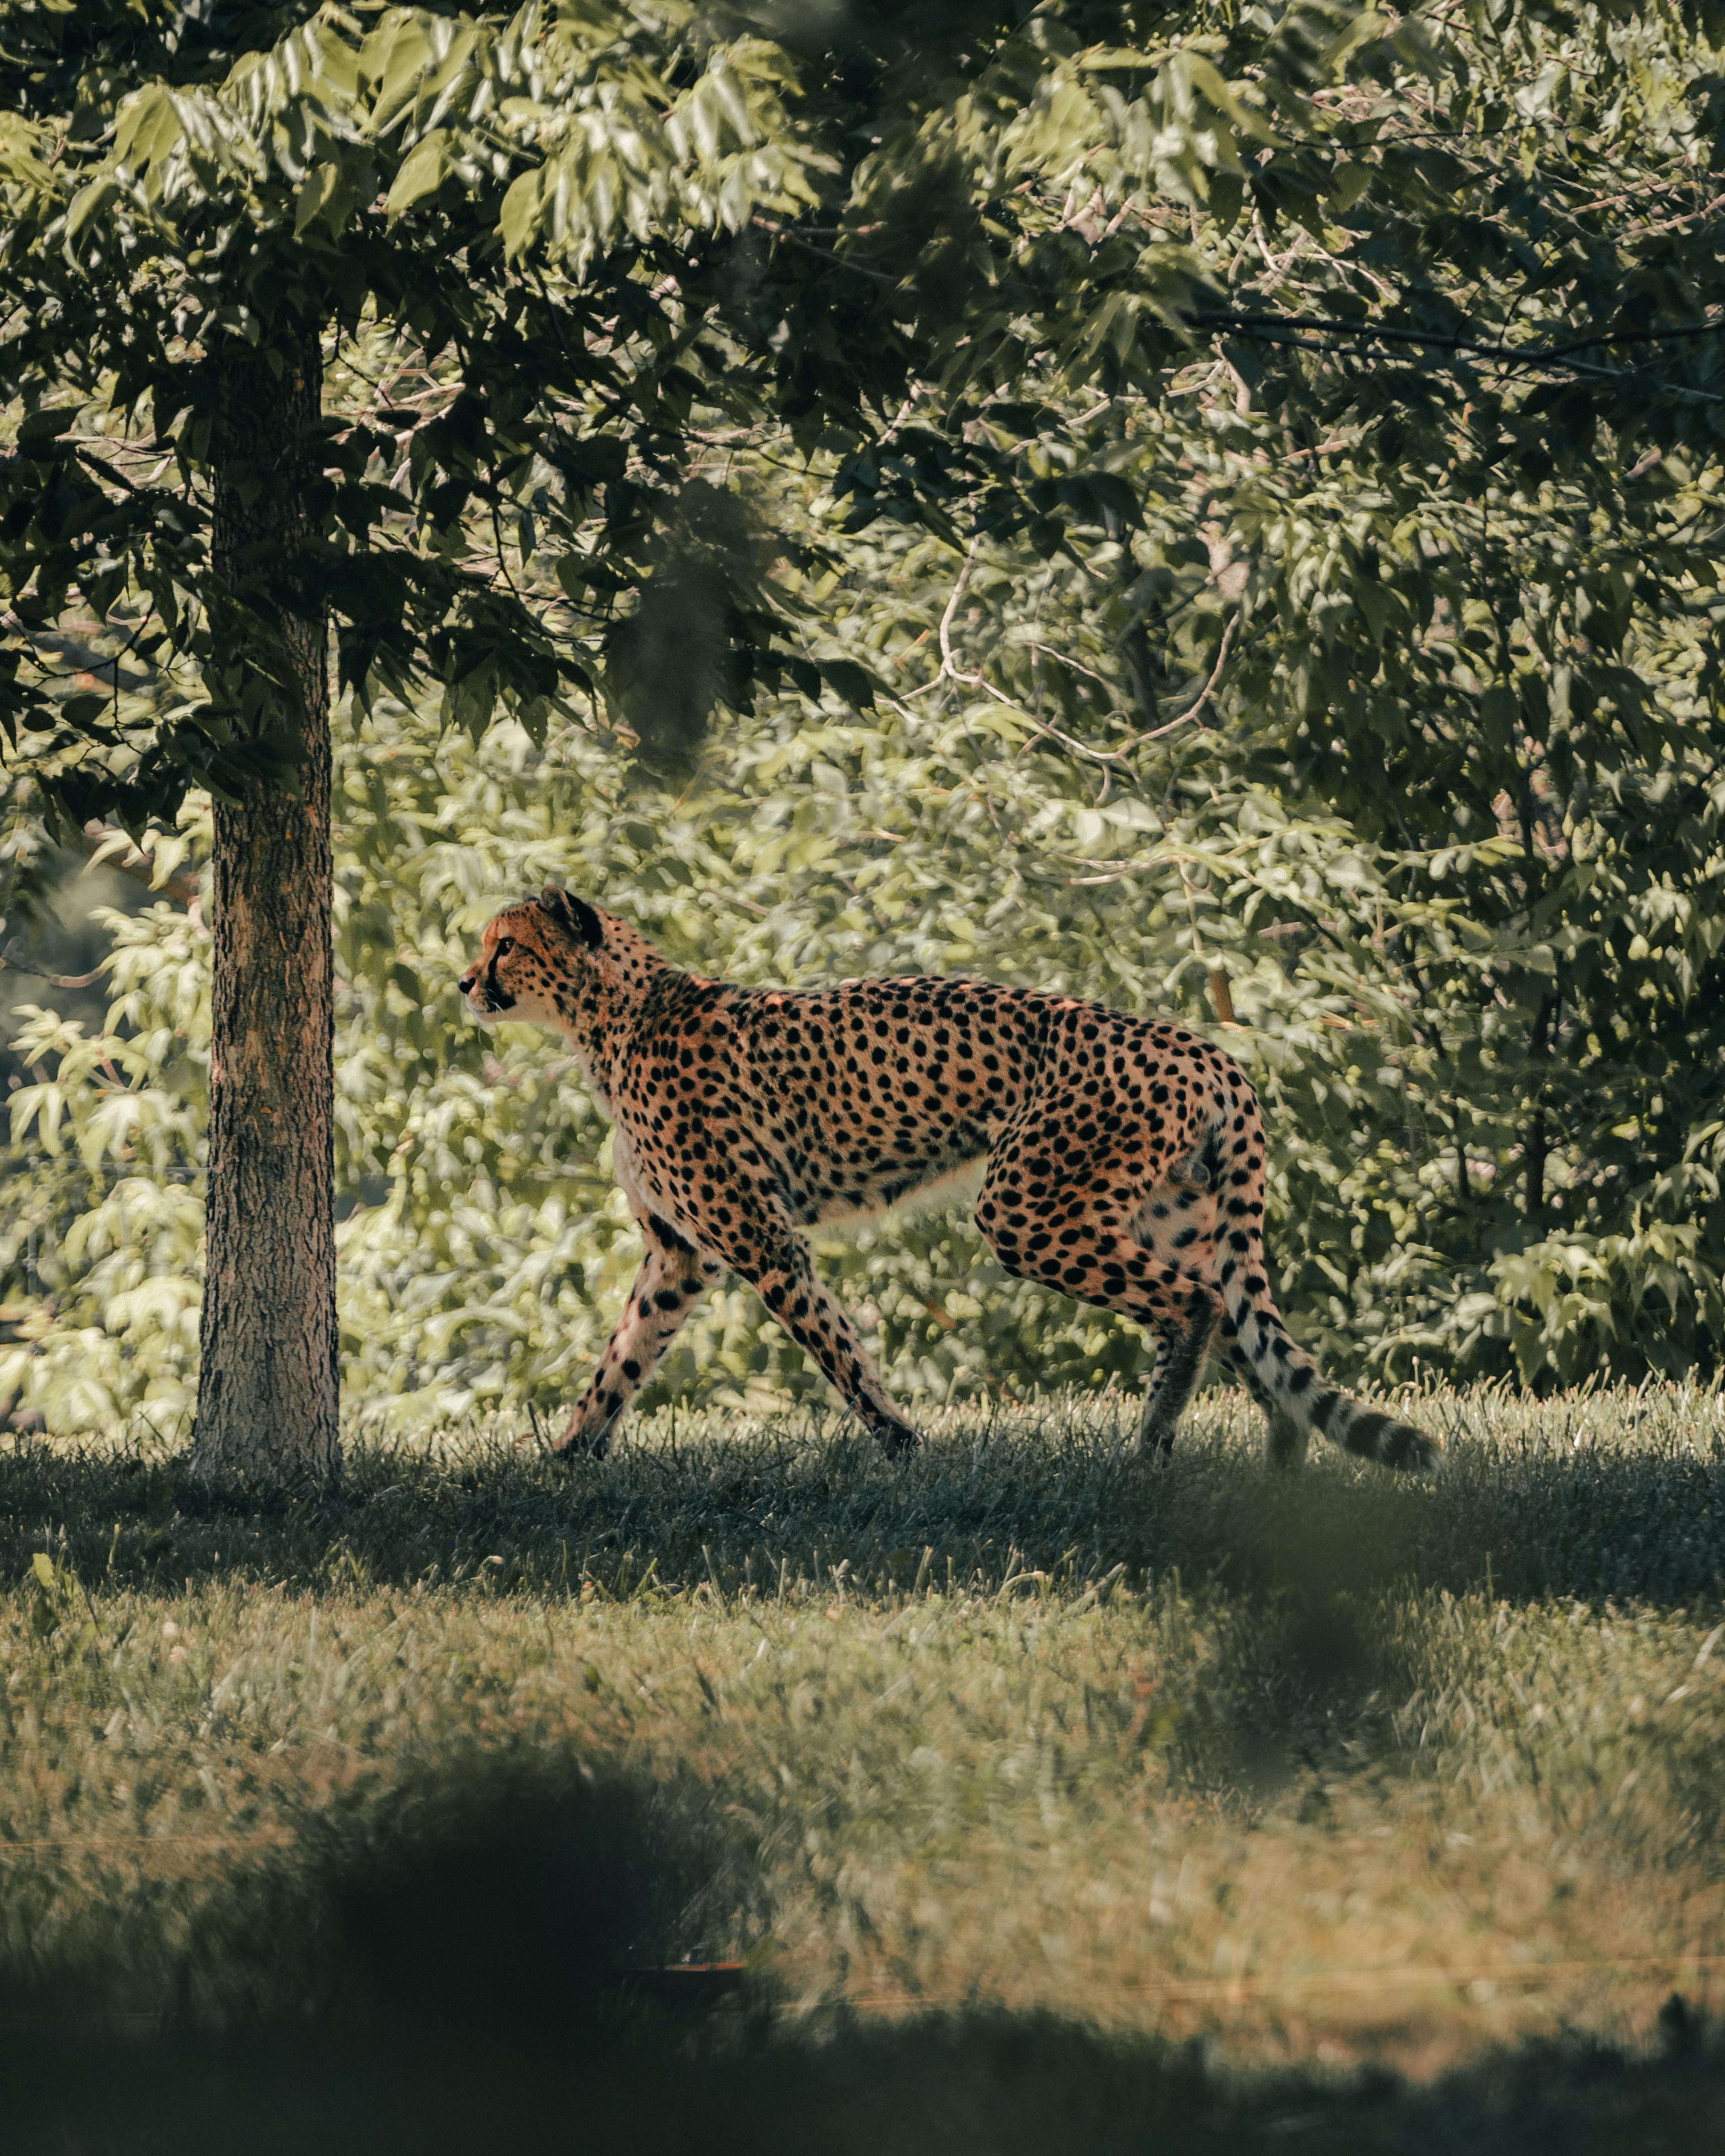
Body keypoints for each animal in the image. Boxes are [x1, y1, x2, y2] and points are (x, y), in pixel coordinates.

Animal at [457, 888, 1440, 1474]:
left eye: (506, 947)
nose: (465, 981)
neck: (611, 1017)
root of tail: (1201, 1046)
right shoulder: (680, 1254)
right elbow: (620, 1360)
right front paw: (563, 1461)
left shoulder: (760, 1239)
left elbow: (836, 1351)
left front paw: (901, 1446)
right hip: (1170, 1213)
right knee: (1243, 1326)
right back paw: (1280, 1468)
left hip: (1024, 1207)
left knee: (1191, 1306)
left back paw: (1156, 1439)